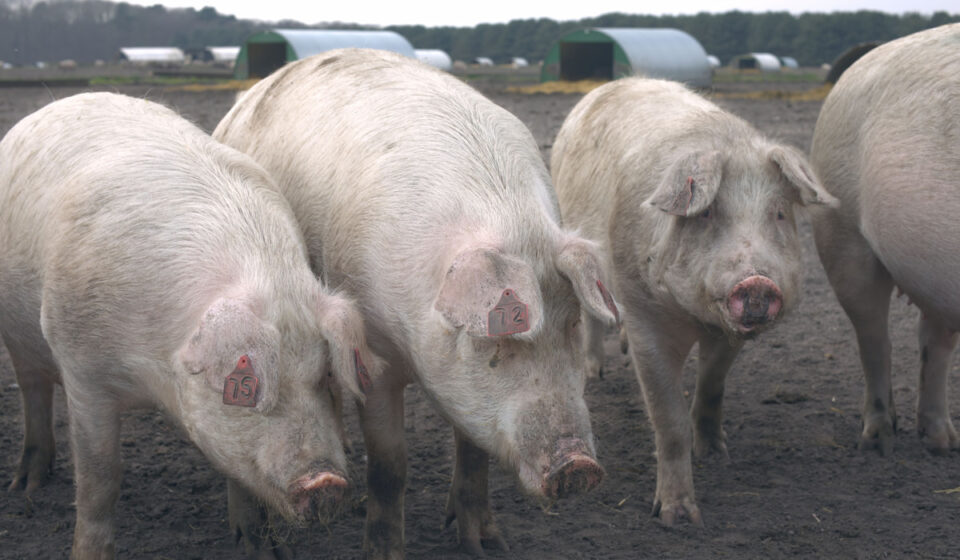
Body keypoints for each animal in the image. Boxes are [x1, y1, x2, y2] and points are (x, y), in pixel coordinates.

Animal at [0, 92, 381, 559]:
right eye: (253, 388)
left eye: (326, 375)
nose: (326, 481)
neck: (154, 375)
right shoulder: (81, 369)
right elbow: (100, 479)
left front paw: (256, 545)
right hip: (17, 333)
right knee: (32, 388)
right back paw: (27, 485)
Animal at [214, 48, 619, 558]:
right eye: (492, 342)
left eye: (571, 325)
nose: (579, 465)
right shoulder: (371, 351)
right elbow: (390, 466)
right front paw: (382, 551)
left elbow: (474, 454)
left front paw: (487, 545)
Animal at [551, 77, 838, 525]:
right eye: (706, 214)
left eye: (778, 214)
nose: (757, 281)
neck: (696, 317)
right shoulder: (644, 313)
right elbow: (668, 418)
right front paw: (678, 517)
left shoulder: (727, 334)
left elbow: (713, 384)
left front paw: (717, 453)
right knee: (594, 316)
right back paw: (594, 371)